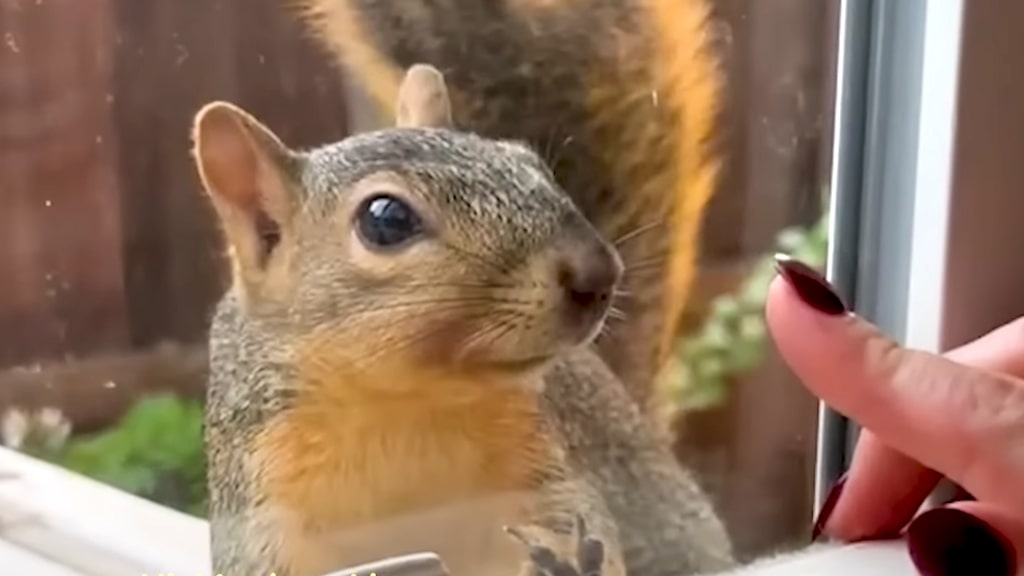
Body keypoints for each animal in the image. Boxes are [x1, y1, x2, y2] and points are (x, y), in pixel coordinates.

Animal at [196, 64, 733, 576]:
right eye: (385, 219)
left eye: (528, 162)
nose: (598, 273)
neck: (408, 408)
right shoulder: (264, 507)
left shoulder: (542, 468)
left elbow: (571, 519)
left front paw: (568, 560)